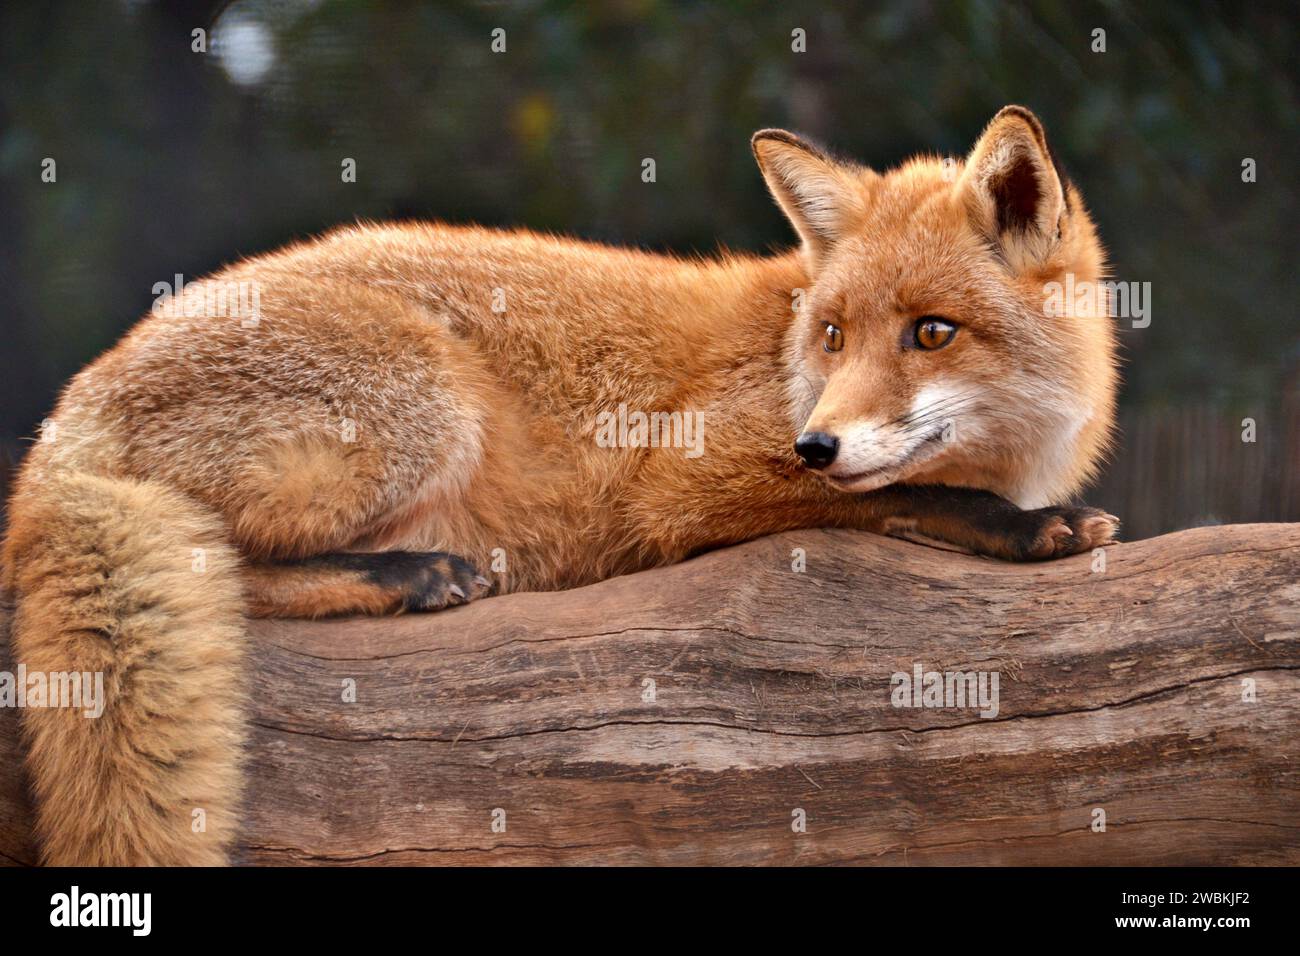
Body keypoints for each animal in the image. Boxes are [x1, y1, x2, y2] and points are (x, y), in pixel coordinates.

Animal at [2, 106, 1117, 865]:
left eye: (931, 332)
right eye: (836, 334)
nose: (816, 442)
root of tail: (61, 427)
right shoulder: (683, 484)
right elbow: (911, 496)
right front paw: (1029, 526)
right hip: (425, 405)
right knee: (222, 560)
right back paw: (410, 576)